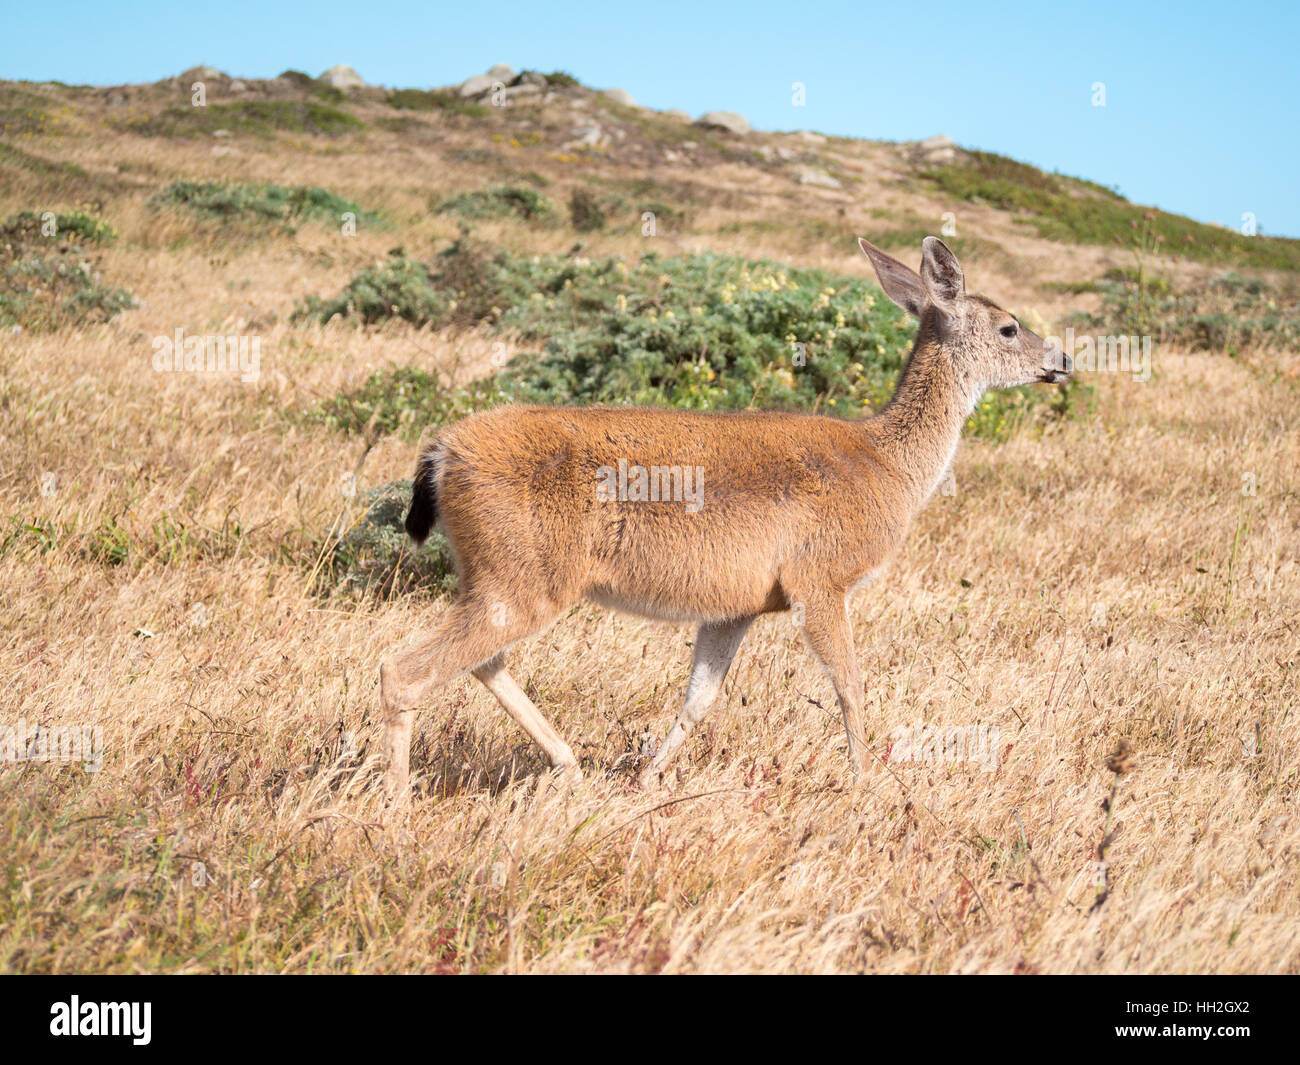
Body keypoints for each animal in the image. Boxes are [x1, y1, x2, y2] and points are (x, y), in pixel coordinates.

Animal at [378, 236, 1071, 799]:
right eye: (1009, 328)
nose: (1063, 360)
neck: (888, 465)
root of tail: (441, 452)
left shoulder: (736, 604)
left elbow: (699, 699)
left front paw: (650, 780)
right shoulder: (820, 579)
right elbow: (850, 685)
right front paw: (864, 783)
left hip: (497, 575)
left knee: (481, 661)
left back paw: (569, 765)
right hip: (523, 573)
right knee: (404, 671)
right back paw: (396, 808)